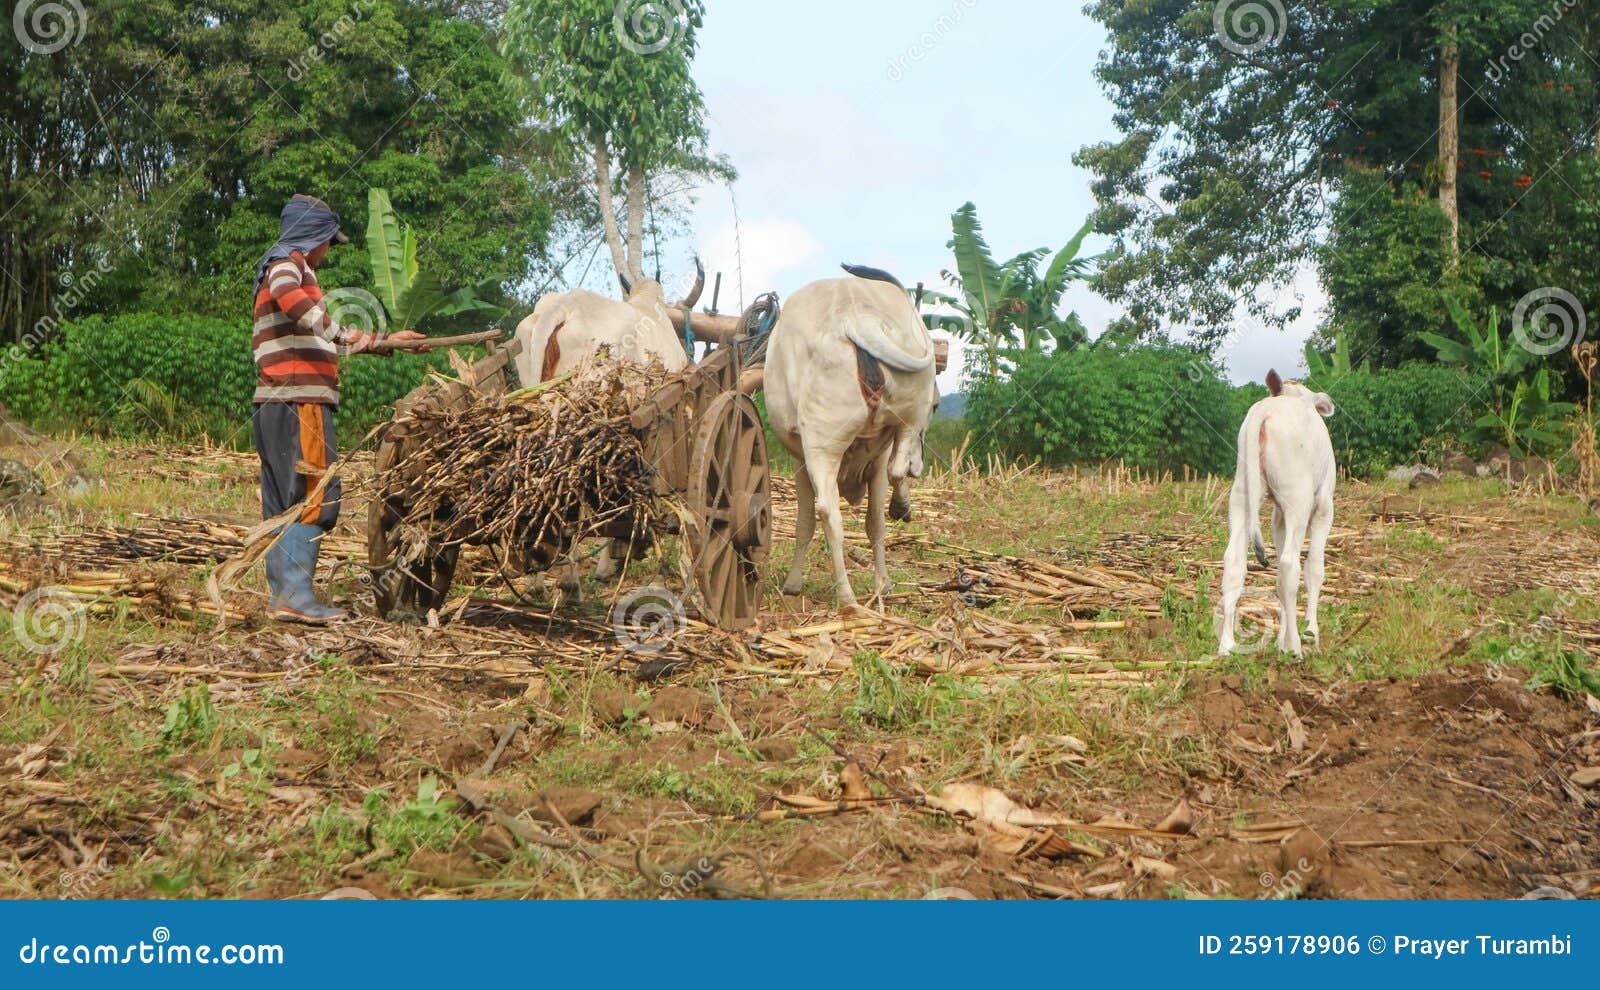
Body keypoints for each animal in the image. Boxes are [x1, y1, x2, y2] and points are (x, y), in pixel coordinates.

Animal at [765, 266, 941, 608]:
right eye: (938, 407)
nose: (920, 466)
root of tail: (855, 317)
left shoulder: (802, 463)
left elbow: (810, 523)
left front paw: (793, 582)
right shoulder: (876, 455)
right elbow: (875, 521)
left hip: (822, 447)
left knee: (828, 512)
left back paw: (846, 594)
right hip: (905, 418)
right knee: (892, 473)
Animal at [1217, 369, 1337, 658]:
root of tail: (1265, 411)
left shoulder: (1278, 516)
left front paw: (1282, 636)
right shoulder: (1324, 506)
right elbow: (1315, 568)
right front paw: (1310, 632)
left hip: (1241, 494)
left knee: (1234, 562)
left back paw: (1227, 646)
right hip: (1299, 498)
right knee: (1289, 565)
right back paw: (1295, 647)